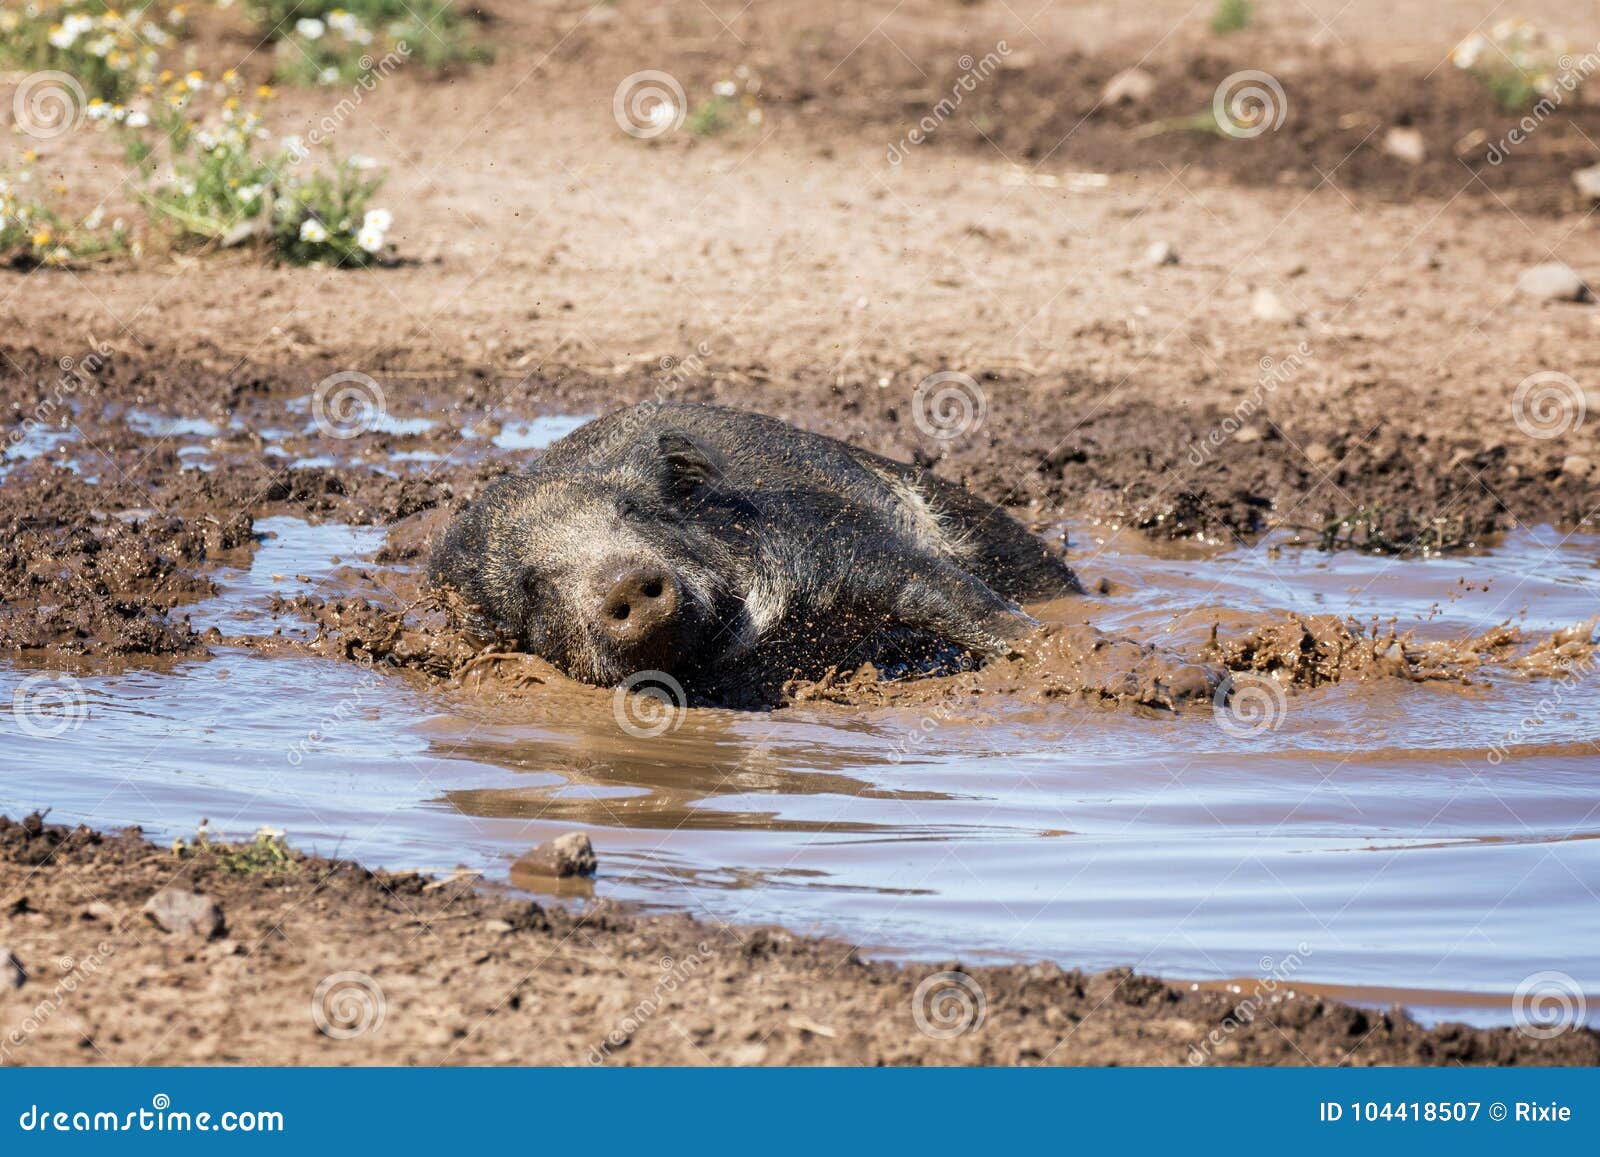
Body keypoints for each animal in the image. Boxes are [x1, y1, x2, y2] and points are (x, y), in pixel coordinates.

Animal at [430, 401, 1081, 697]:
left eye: (633, 510)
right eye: (531, 587)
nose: (623, 581)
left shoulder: (833, 538)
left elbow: (935, 589)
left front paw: (1053, 654)